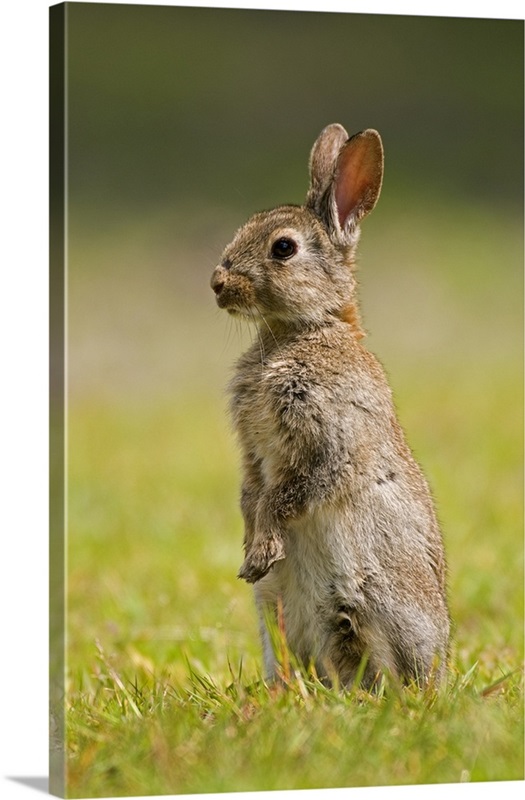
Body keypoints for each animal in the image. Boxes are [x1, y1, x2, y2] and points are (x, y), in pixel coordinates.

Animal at [210, 123, 450, 689]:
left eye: (283, 248)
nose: (217, 284)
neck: (304, 329)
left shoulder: (329, 439)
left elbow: (288, 493)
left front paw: (263, 549)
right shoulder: (253, 454)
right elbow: (252, 493)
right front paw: (251, 552)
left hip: (364, 600)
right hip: (274, 609)